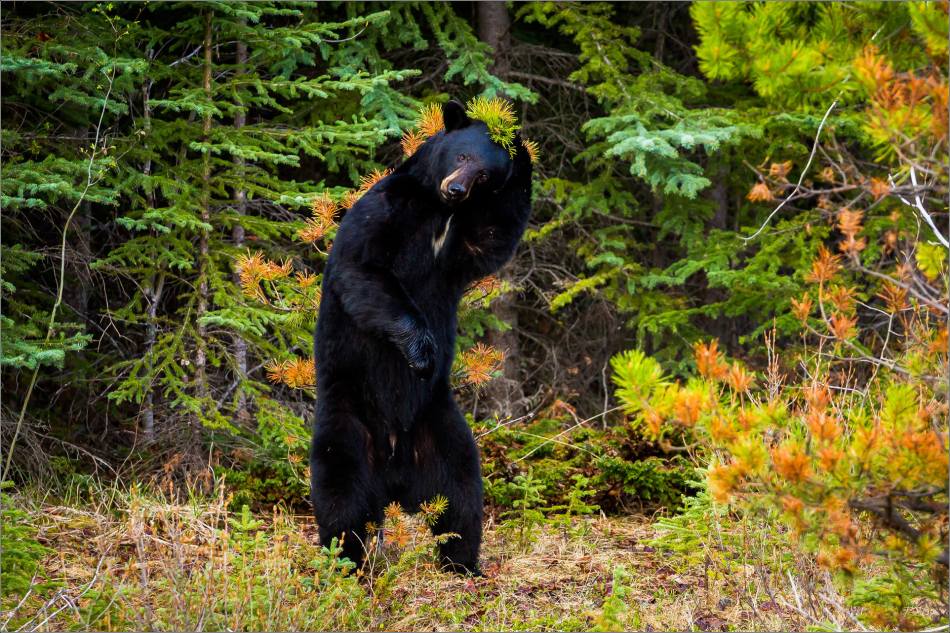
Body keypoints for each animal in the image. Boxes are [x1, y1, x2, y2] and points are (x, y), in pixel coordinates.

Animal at [310, 100, 532, 574]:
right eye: (462, 155)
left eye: (485, 175)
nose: (457, 189)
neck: (438, 213)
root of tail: (394, 474)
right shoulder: (384, 212)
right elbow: (364, 271)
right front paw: (422, 352)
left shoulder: (462, 242)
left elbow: (496, 238)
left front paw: (517, 139)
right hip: (348, 418)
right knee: (341, 493)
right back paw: (347, 562)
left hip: (441, 426)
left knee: (461, 492)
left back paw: (463, 563)